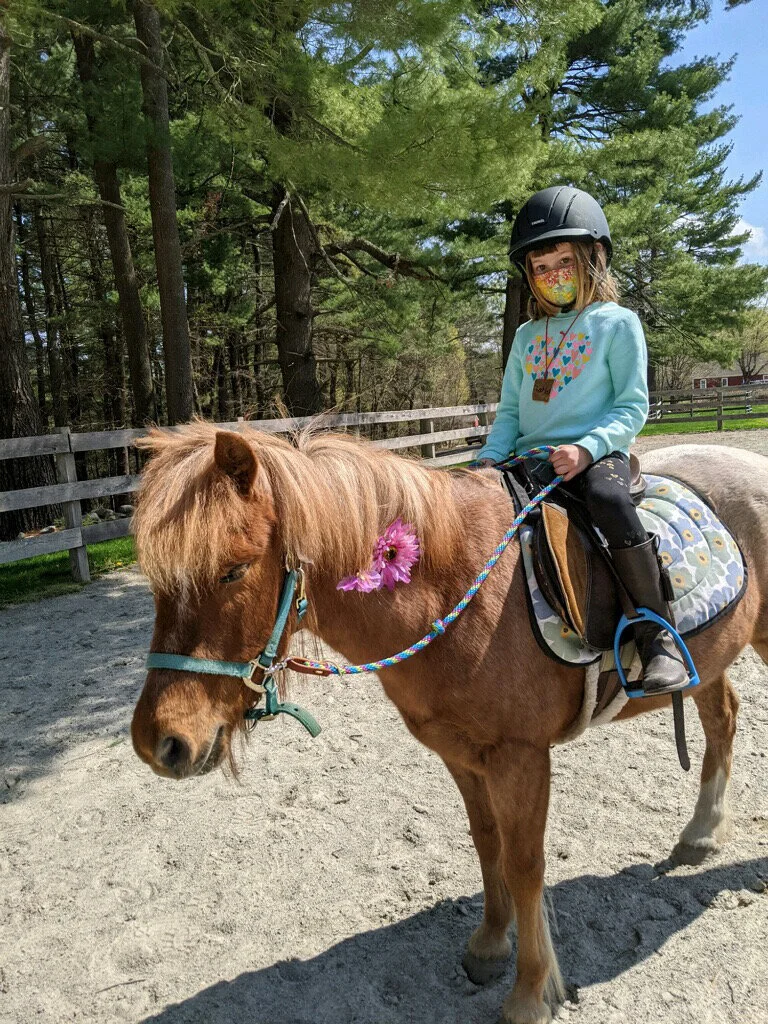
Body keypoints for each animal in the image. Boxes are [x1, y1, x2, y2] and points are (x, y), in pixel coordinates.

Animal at [130, 422, 768, 1024]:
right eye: (155, 582)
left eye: (234, 571)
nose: (158, 743)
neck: (457, 592)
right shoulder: (459, 752)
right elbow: (487, 846)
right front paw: (489, 946)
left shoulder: (520, 756)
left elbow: (525, 864)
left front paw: (530, 994)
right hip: (710, 662)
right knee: (722, 718)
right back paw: (701, 834)